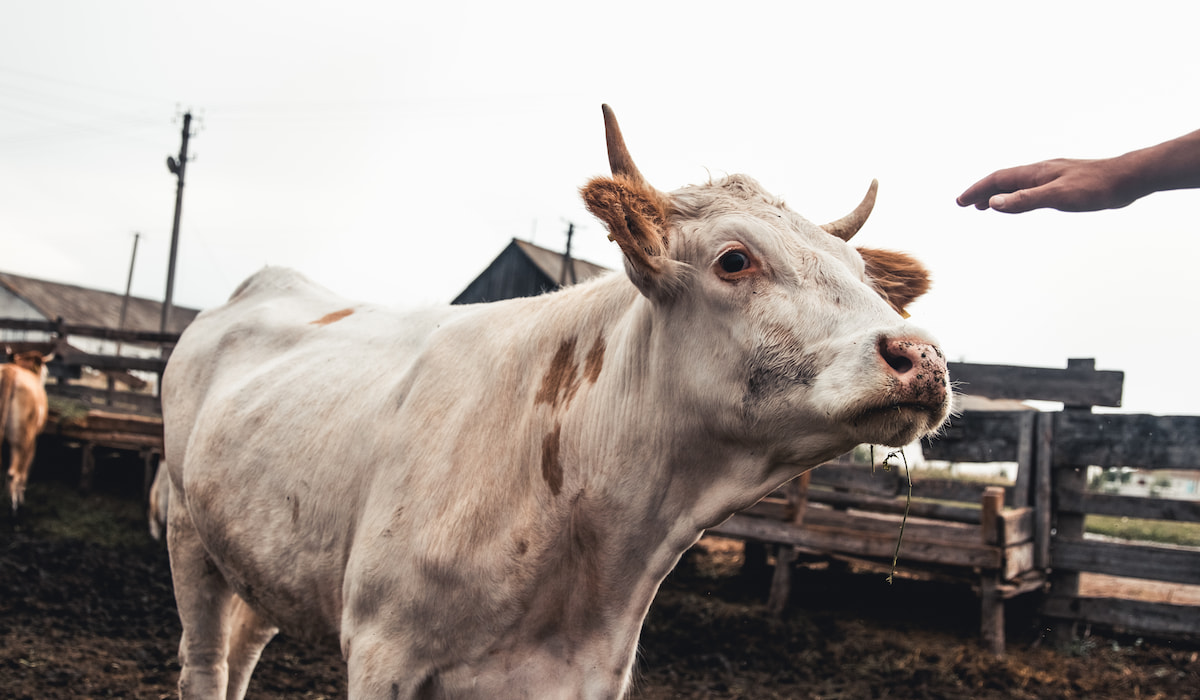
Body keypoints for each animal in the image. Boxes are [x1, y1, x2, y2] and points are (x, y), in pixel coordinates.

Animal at [2, 348, 51, 514]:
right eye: (46, 372)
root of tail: (10, 371)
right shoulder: (32, 440)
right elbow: (26, 469)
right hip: (22, 438)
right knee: (14, 473)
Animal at [161, 105, 952, 699]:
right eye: (734, 259)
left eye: (861, 275)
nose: (923, 358)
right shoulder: (383, 655)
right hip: (190, 539)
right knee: (206, 667)